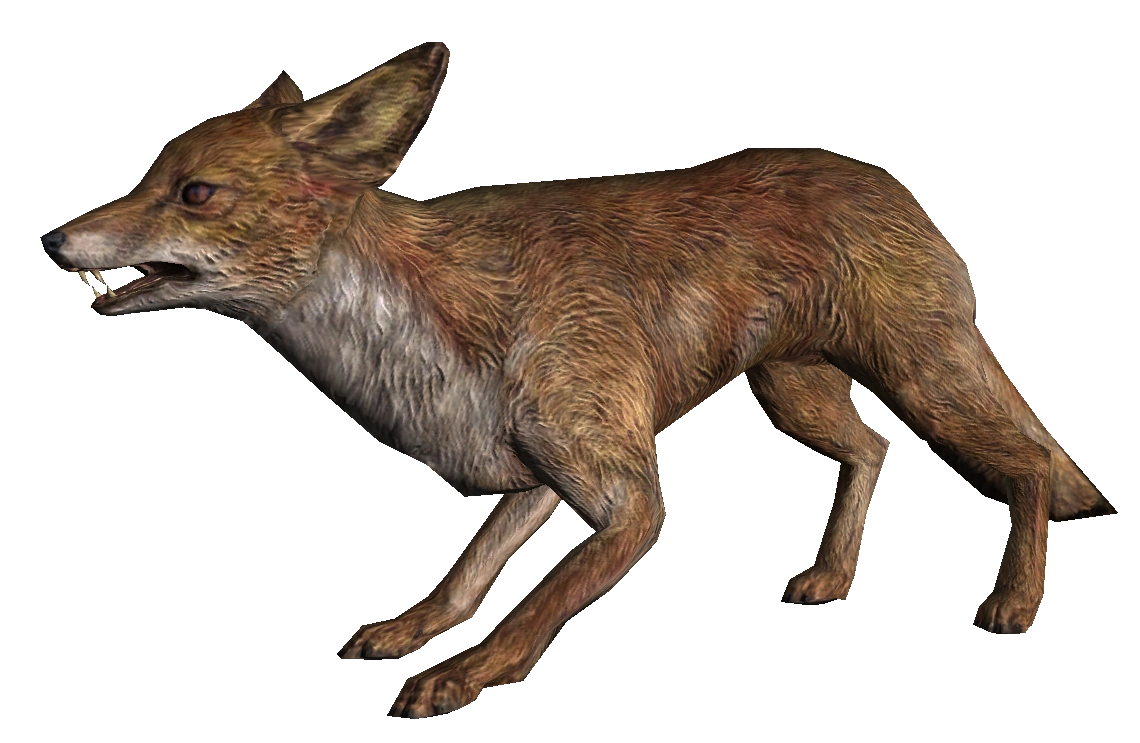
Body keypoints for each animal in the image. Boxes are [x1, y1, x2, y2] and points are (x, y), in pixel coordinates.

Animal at [42, 40, 1118, 719]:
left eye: (195, 193)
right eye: (147, 173)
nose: (53, 236)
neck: (426, 328)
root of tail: (892, 181)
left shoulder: (628, 493)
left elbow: (536, 604)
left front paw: (467, 676)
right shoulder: (535, 475)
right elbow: (468, 575)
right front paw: (413, 630)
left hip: (924, 379)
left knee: (1025, 464)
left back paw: (1014, 602)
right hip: (796, 392)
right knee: (872, 450)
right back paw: (830, 575)